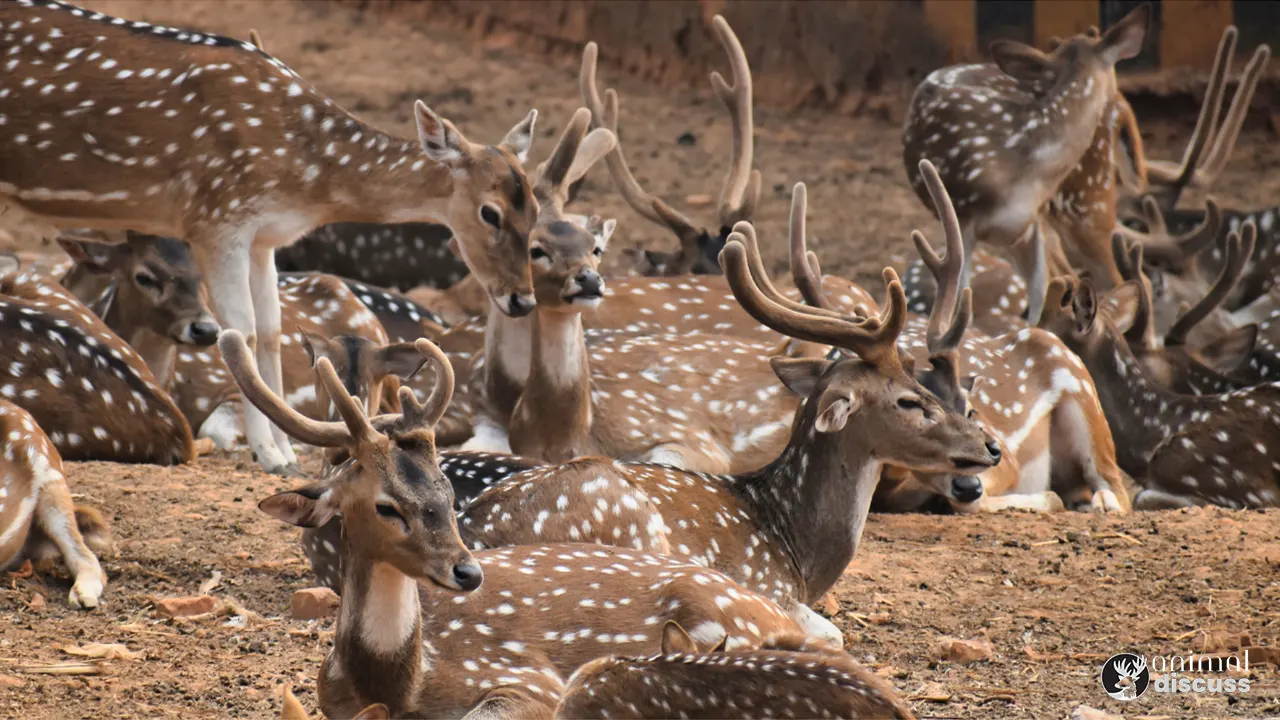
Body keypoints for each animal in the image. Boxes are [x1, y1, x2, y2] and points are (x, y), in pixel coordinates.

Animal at [455, 229, 1001, 645]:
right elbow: (831, 632)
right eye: (909, 400)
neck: (797, 551)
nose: (990, 447)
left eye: (963, 402)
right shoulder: (762, 582)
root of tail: (477, 535)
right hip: (623, 525)